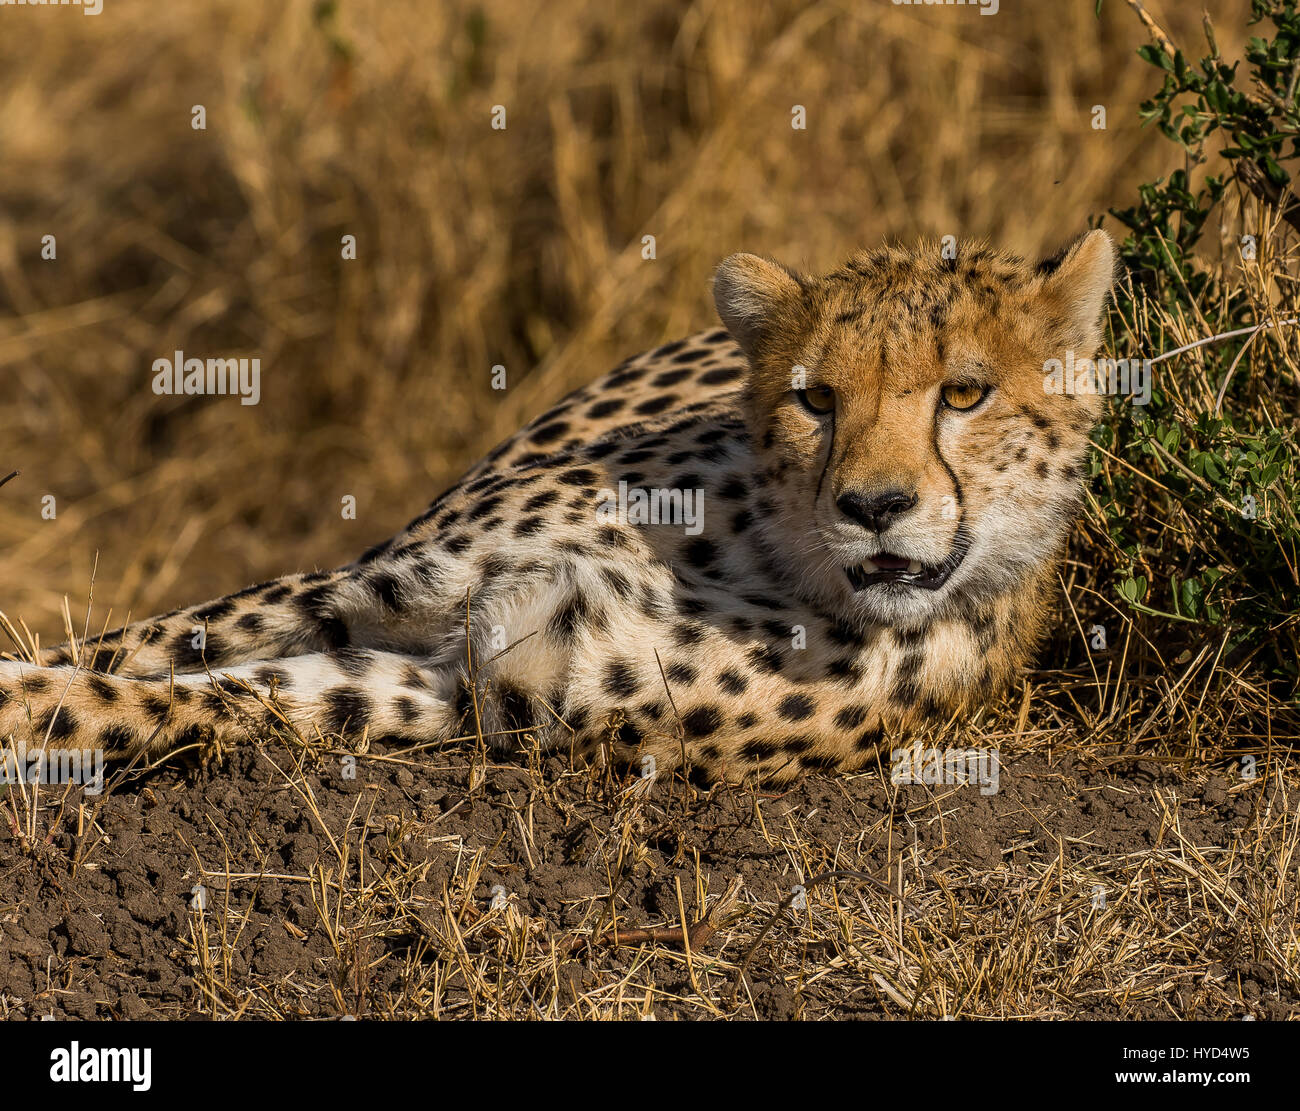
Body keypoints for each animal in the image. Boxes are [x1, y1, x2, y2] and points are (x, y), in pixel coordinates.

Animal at [0, 231, 1116, 786]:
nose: (874, 505)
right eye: (816, 399)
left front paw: (39, 709)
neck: (762, 558)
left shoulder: (479, 692)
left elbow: (226, 694)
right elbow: (143, 643)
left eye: (963, 394)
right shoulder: (384, 585)